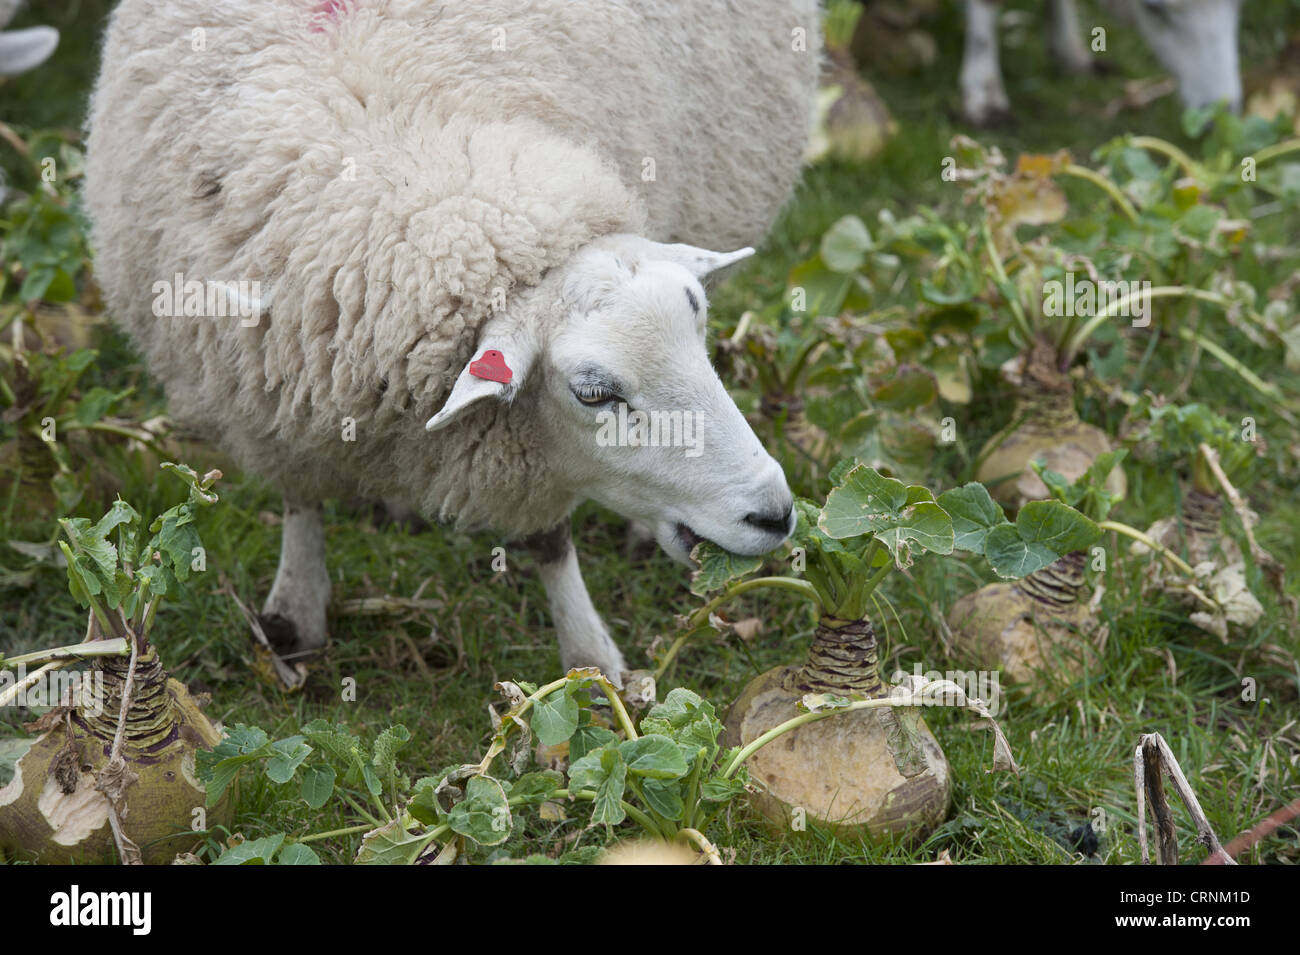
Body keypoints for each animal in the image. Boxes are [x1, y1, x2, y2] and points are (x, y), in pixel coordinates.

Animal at [83, 0, 821, 683]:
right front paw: (294, 611)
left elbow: (550, 539)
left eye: (701, 334)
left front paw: (590, 662)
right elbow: (300, 496)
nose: (775, 513)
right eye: (593, 393)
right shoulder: (267, 390)